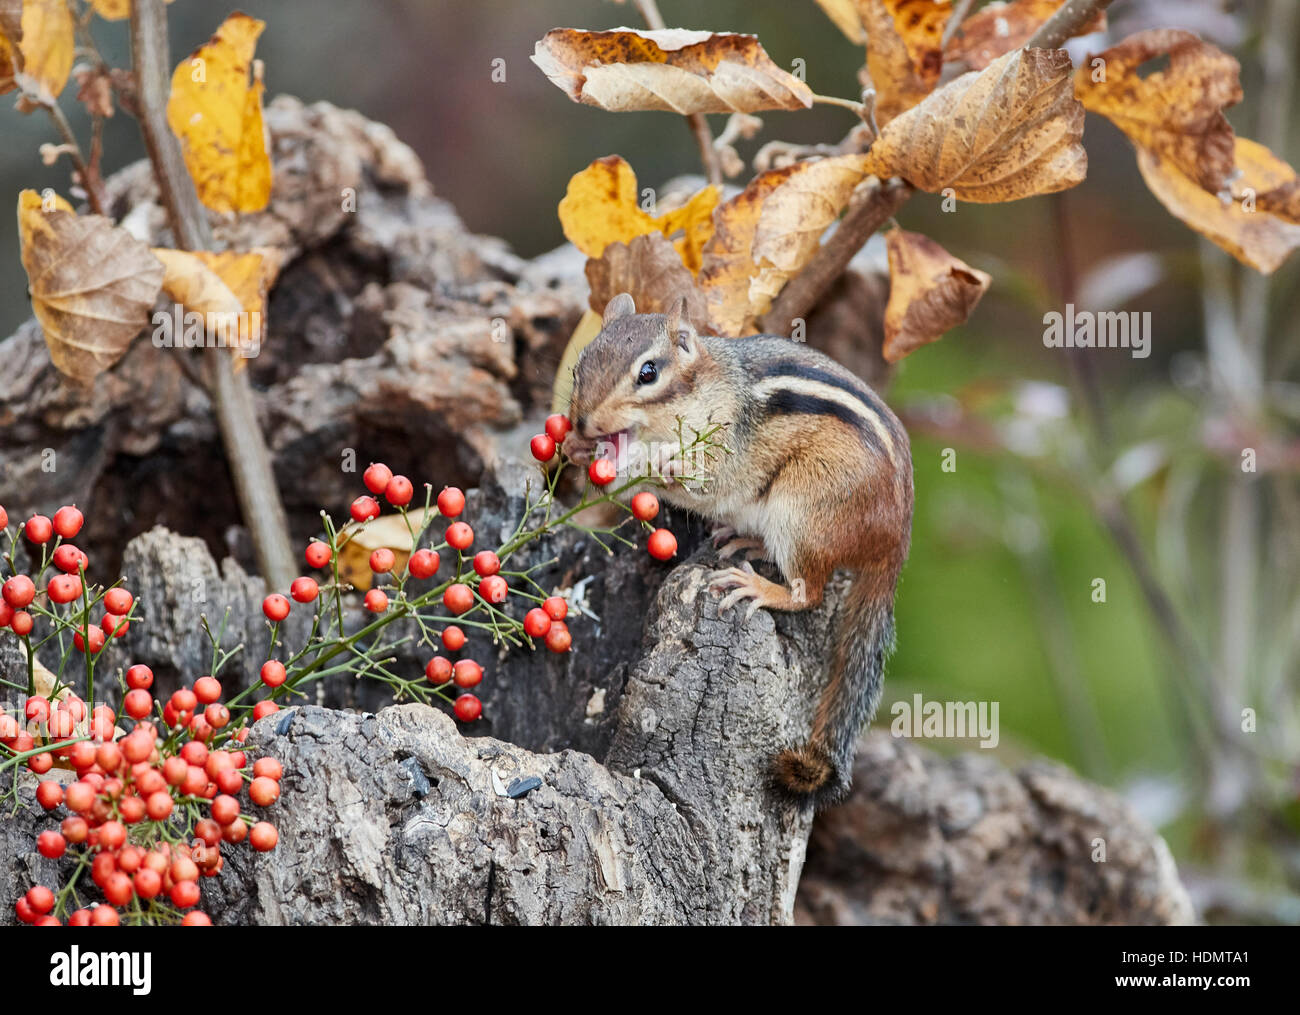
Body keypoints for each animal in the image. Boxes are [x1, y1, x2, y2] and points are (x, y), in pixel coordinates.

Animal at [561, 292, 914, 807]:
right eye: (579, 366)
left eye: (648, 372)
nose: (583, 423)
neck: (709, 387)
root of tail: (894, 544)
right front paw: (574, 447)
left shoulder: (723, 447)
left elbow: (698, 475)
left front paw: (644, 463)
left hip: (803, 513)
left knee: (809, 592)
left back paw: (758, 586)